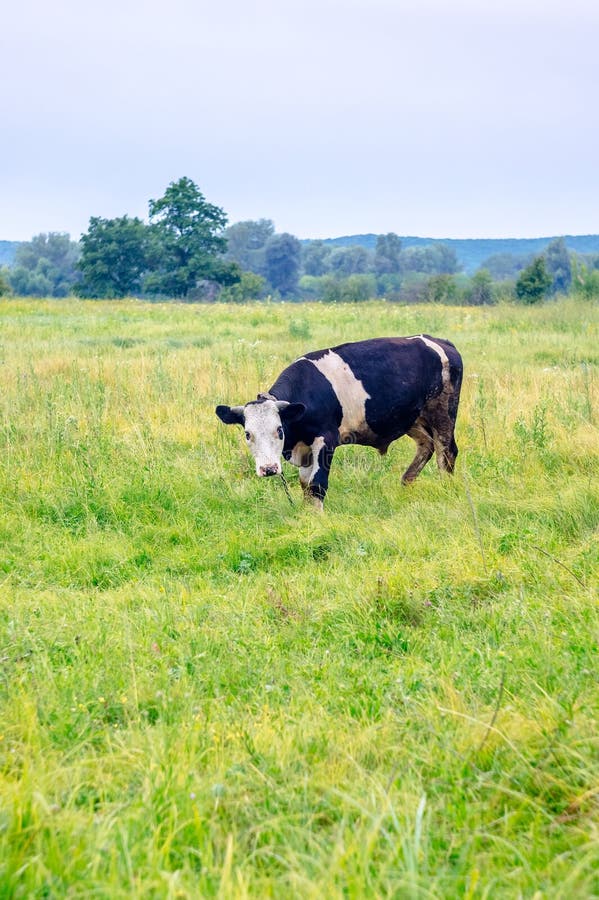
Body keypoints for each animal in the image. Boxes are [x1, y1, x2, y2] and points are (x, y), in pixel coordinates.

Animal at [215, 334, 463, 510]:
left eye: (279, 430)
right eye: (248, 434)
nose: (268, 469)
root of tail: (440, 341)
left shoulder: (326, 439)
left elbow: (317, 485)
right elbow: (305, 485)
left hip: (442, 410)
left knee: (446, 452)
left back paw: (445, 488)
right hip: (410, 417)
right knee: (427, 445)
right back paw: (406, 483)